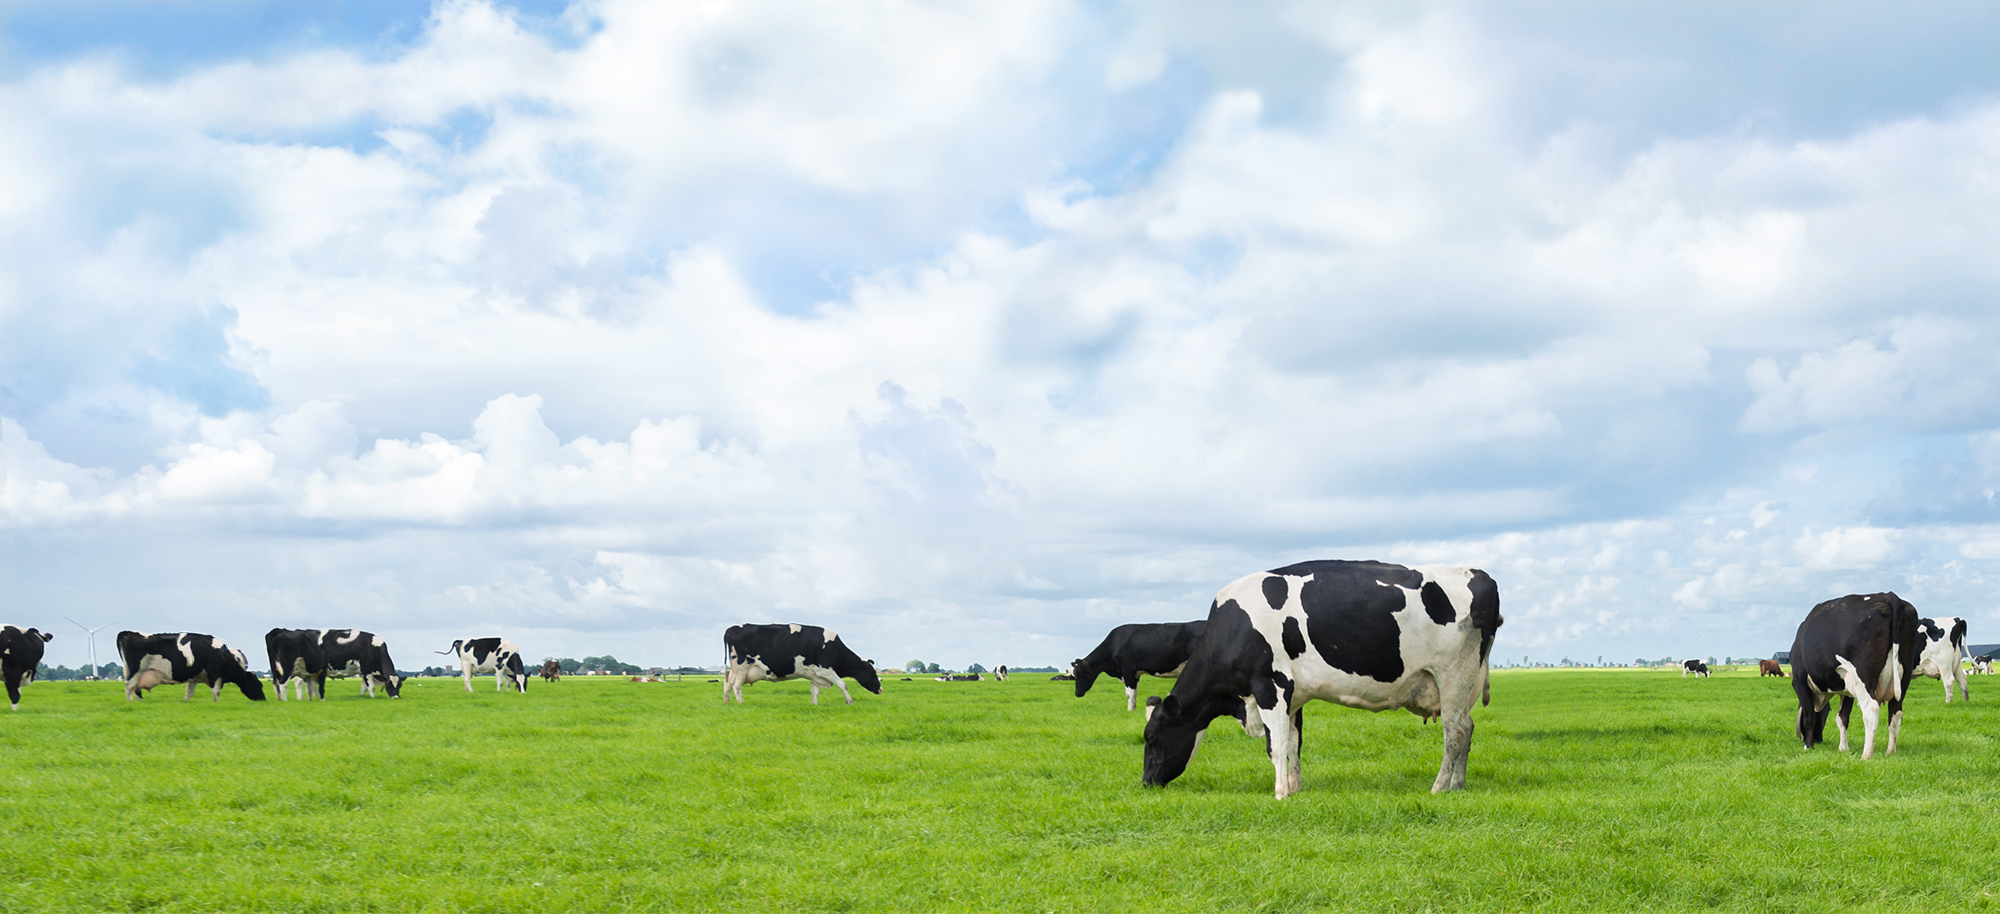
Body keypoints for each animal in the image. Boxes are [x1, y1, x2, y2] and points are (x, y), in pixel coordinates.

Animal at [118, 631, 268, 702]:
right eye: (256, 685)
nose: (263, 699)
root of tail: (128, 633)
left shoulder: (195, 676)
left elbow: (189, 692)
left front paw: (185, 702)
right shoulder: (213, 672)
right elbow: (216, 691)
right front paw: (217, 703)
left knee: (136, 689)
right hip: (136, 670)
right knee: (130, 687)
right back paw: (130, 702)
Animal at [722, 623, 881, 705]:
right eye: (872, 673)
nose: (880, 689)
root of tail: (730, 629)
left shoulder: (813, 673)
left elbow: (815, 691)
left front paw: (815, 704)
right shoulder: (825, 669)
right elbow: (843, 684)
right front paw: (849, 701)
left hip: (734, 669)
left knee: (728, 683)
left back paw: (727, 701)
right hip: (742, 666)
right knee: (737, 685)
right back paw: (741, 702)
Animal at [1073, 621, 1209, 711]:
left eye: (1080, 673)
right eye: (1074, 674)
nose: (1077, 693)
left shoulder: (1127, 669)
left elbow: (1130, 693)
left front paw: (1130, 710)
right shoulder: (1135, 673)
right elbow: (1134, 692)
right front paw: (1133, 709)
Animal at [1143, 560, 1502, 798]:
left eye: (1152, 737)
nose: (1146, 782)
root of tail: (1479, 574)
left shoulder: (1271, 685)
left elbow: (1276, 746)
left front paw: (1280, 792)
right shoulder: (1293, 695)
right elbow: (1293, 743)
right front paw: (1295, 787)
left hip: (1453, 674)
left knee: (1455, 732)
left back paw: (1439, 786)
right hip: (1462, 681)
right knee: (1467, 728)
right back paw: (1458, 785)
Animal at [1790, 592, 1921, 759]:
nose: (1818, 740)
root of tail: (1888, 595)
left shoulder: (1799, 681)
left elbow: (1809, 716)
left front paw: (1808, 747)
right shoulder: (1846, 688)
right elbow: (1842, 717)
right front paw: (1843, 748)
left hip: (1863, 676)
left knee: (1871, 709)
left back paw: (1866, 755)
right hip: (1904, 677)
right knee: (1895, 712)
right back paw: (1890, 751)